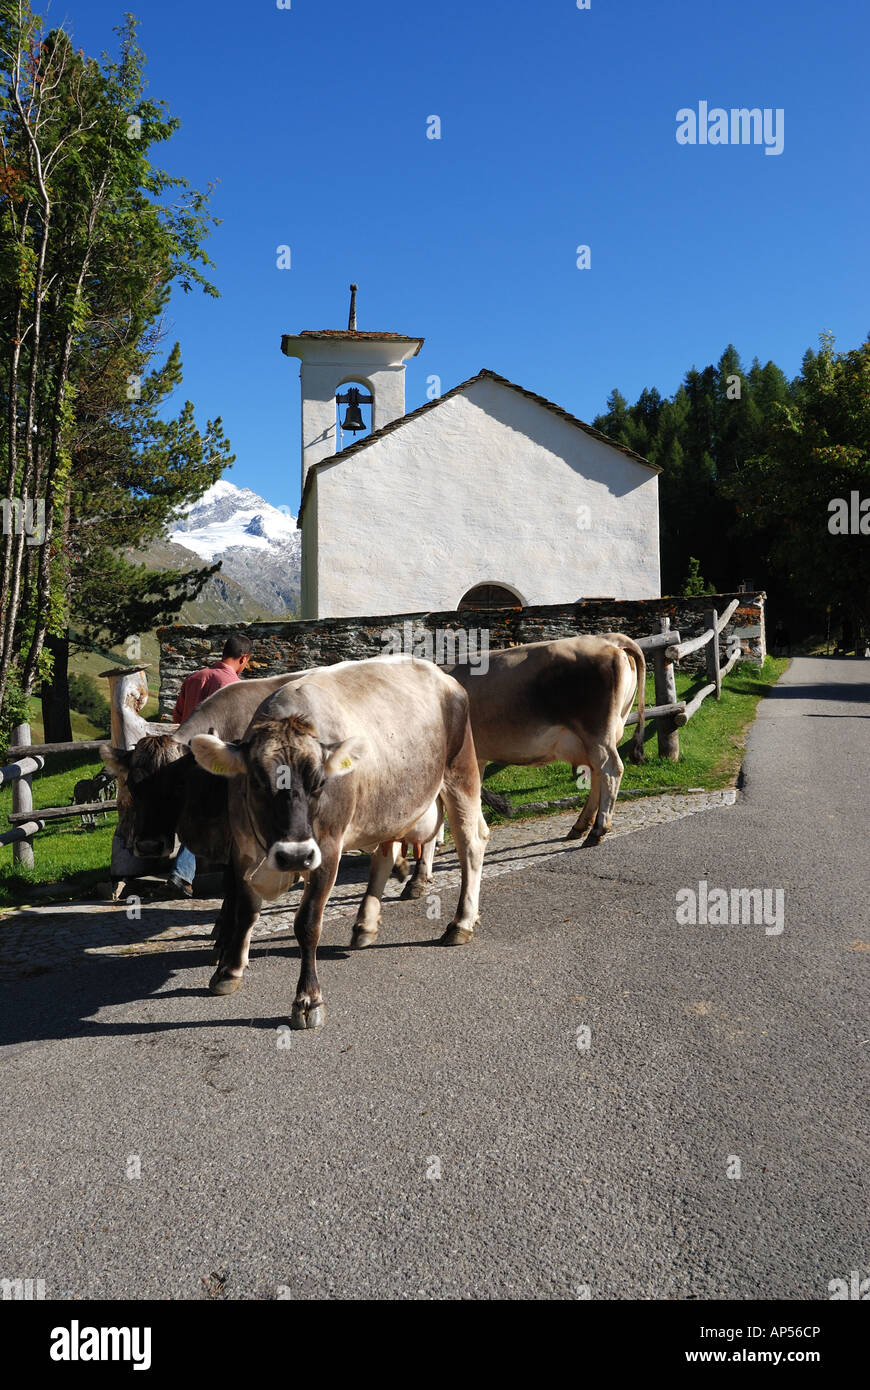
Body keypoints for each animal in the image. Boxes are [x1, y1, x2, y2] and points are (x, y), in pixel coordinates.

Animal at [189, 654, 487, 1029]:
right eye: (256, 782)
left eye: (319, 783)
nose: (294, 856)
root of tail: (441, 674)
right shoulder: (243, 851)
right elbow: (245, 912)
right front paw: (228, 971)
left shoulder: (326, 850)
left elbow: (307, 923)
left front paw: (307, 1000)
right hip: (384, 803)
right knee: (384, 854)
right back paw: (365, 924)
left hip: (461, 772)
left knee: (471, 844)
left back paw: (461, 923)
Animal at [400, 632, 646, 898]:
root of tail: (609, 639)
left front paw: (418, 879)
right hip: (606, 732)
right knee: (599, 776)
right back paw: (581, 826)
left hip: (597, 733)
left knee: (611, 770)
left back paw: (597, 831)